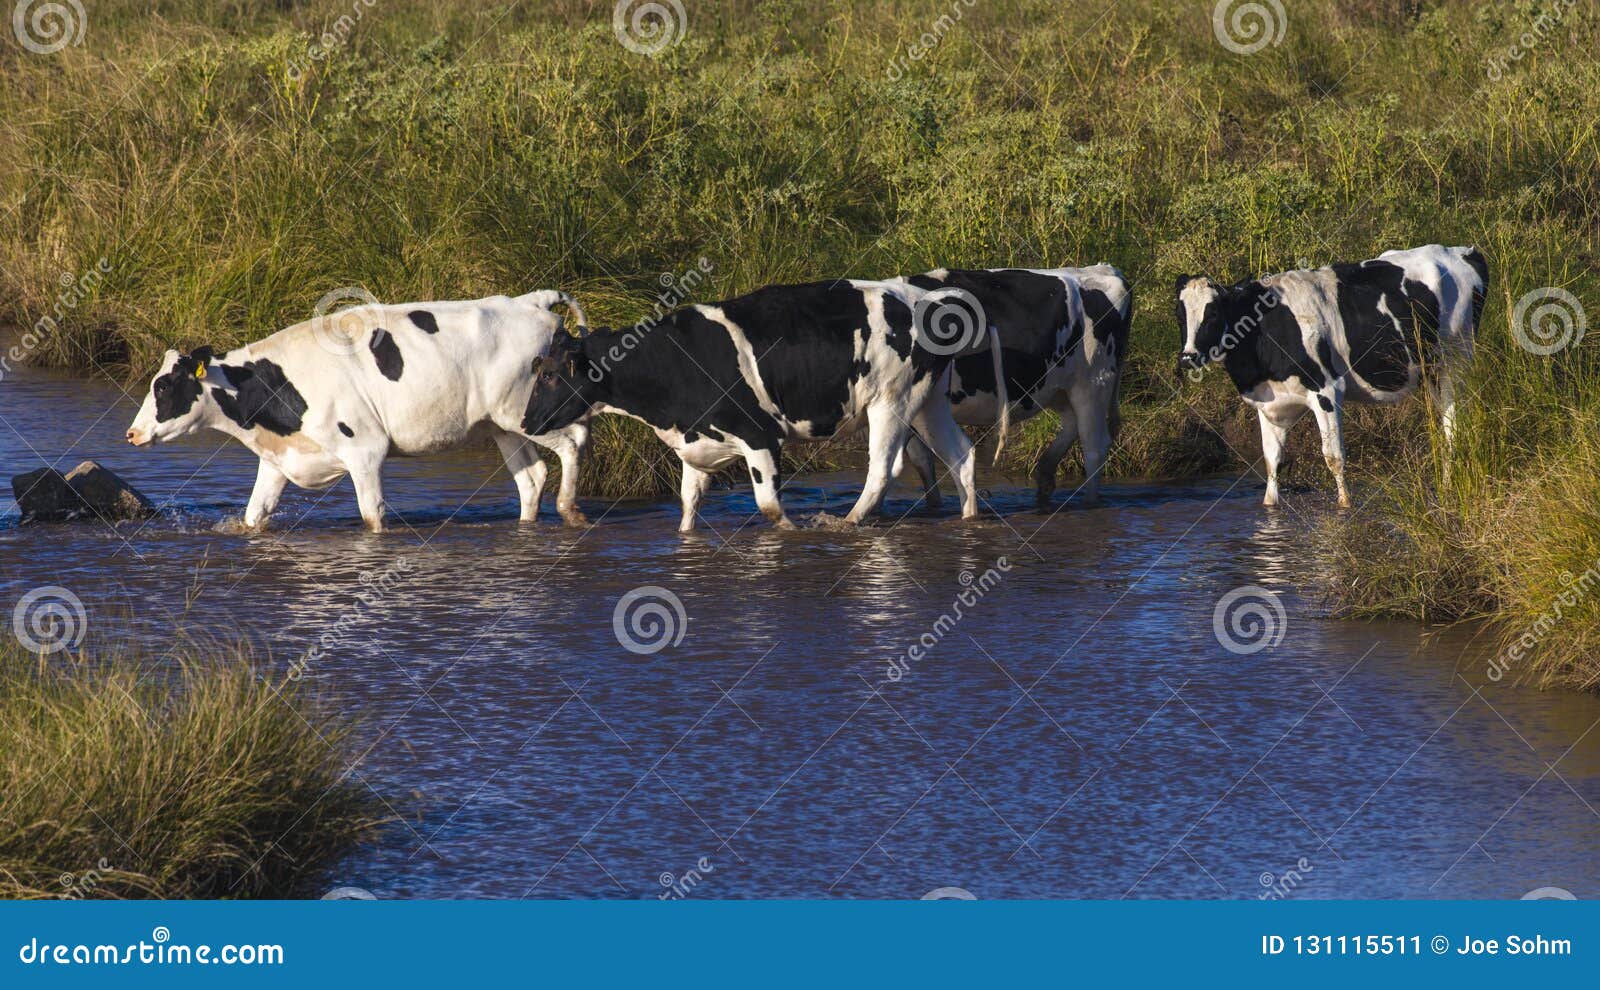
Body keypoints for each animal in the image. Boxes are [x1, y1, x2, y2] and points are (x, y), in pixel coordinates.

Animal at [125, 289, 592, 532]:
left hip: (527, 413)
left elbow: (371, 515)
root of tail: (530, 301)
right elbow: (255, 514)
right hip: (501, 425)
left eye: (163, 385)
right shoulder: (280, 460)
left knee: (574, 441)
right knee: (531, 478)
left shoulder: (366, 450)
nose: (131, 433)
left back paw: (570, 510)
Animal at [520, 279, 1007, 531]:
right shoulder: (696, 448)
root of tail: (925, 299)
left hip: (892, 400)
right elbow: (688, 505)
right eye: (537, 368)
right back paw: (969, 520)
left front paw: (791, 533)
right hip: (928, 401)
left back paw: (847, 522)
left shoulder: (761, 437)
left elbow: (769, 505)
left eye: (550, 375)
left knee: (883, 470)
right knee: (961, 454)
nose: (526, 421)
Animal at [895, 264, 1132, 507]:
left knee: (1094, 446)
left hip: (1094, 382)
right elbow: (922, 462)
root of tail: (1104, 269)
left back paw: (1088, 502)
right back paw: (1044, 479)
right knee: (1071, 424)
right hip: (1059, 387)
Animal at [1175, 244, 1488, 508]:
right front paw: (1269, 506)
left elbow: (1333, 457)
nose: (1188, 357)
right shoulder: (1269, 404)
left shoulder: (1326, 391)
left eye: (1213, 314)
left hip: (1456, 361)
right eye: (1180, 315)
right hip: (1432, 372)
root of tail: (1462, 251)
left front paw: (1345, 505)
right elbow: (1272, 461)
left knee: (1453, 428)